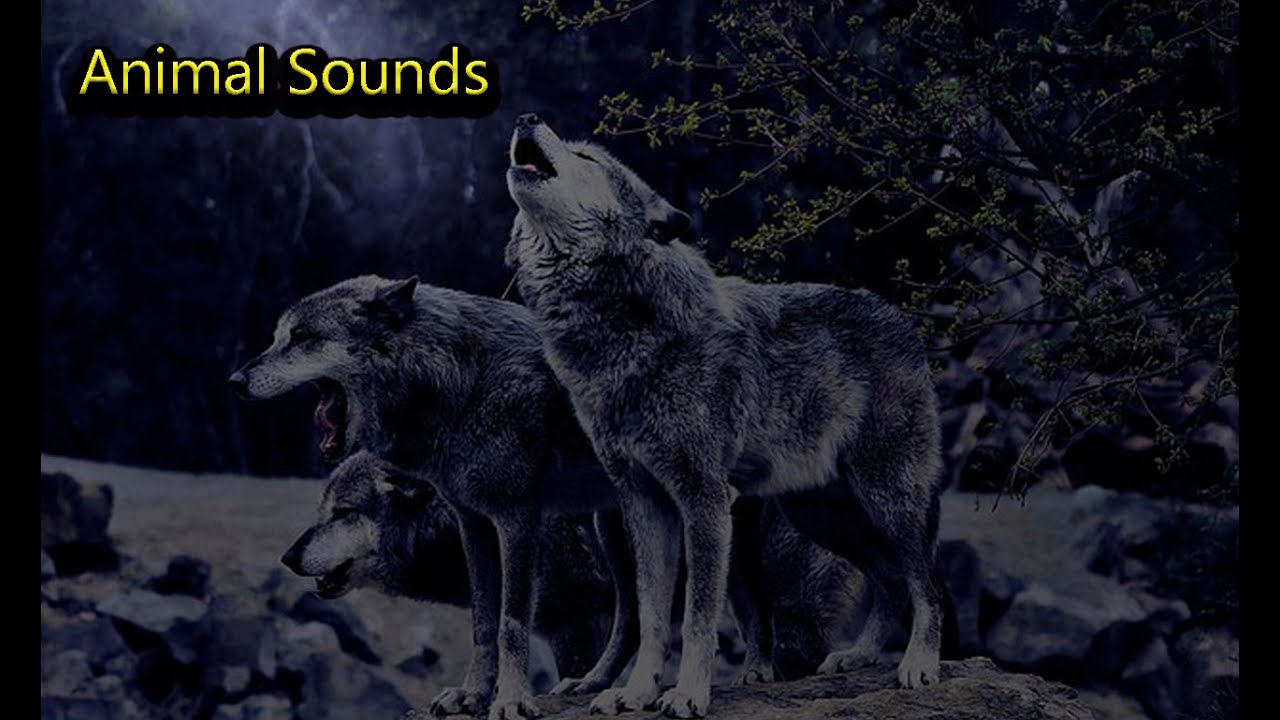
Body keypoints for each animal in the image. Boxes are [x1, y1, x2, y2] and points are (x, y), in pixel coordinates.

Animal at [504, 114, 946, 718]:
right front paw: (637, 693)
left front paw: (689, 693)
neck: (619, 327)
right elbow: (651, 617)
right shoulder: (645, 502)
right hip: (823, 514)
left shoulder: (704, 499)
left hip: (887, 497)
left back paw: (919, 663)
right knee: (892, 582)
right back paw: (856, 656)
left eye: (586, 157)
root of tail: (904, 322)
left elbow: (696, 617)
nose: (526, 118)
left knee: (926, 581)